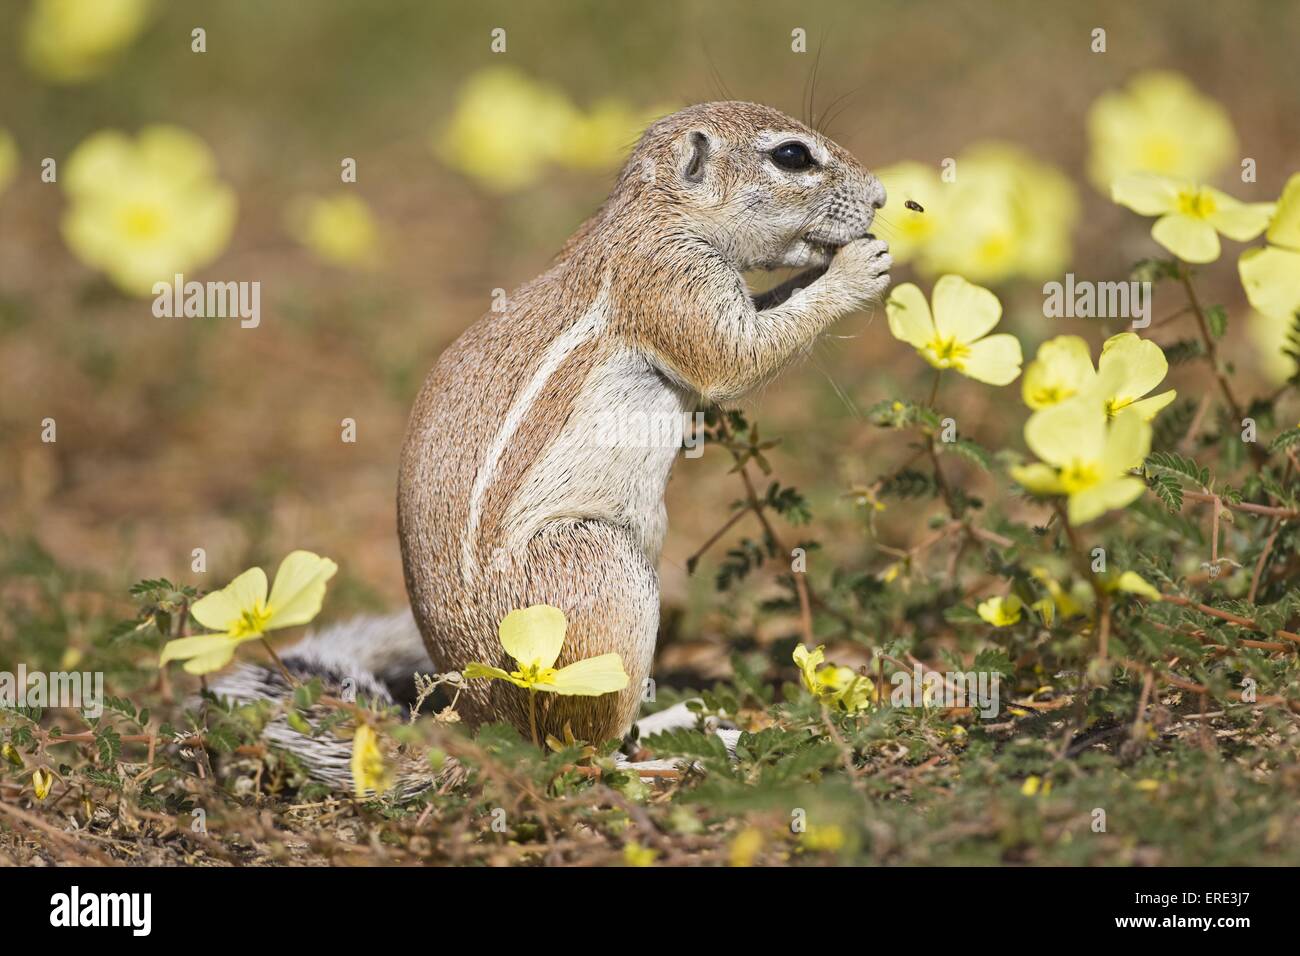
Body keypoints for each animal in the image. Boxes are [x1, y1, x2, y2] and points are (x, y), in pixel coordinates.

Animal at [211, 101, 890, 787]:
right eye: (791, 156)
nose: (882, 196)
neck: (658, 214)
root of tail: (486, 728)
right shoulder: (672, 281)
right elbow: (735, 356)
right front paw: (857, 268)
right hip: (596, 572)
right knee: (585, 752)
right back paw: (677, 755)